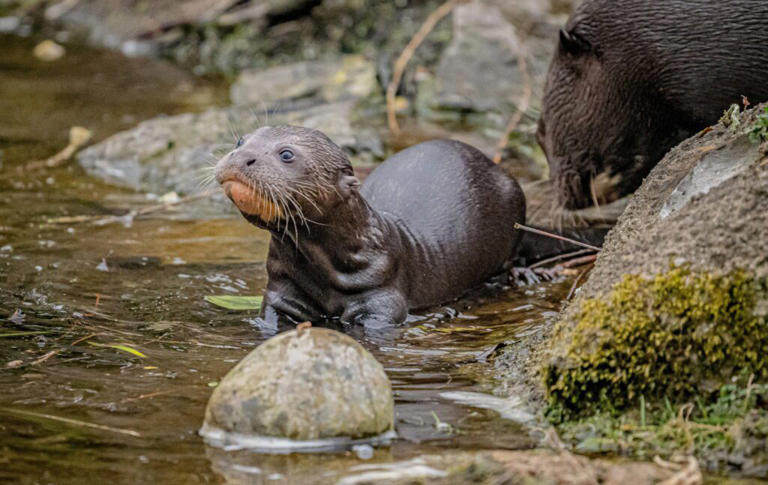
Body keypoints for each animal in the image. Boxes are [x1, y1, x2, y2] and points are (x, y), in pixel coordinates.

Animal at [215, 126, 525, 329]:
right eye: (240, 141)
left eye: (287, 154)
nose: (241, 157)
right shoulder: (283, 289)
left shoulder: (380, 300)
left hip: (513, 196)